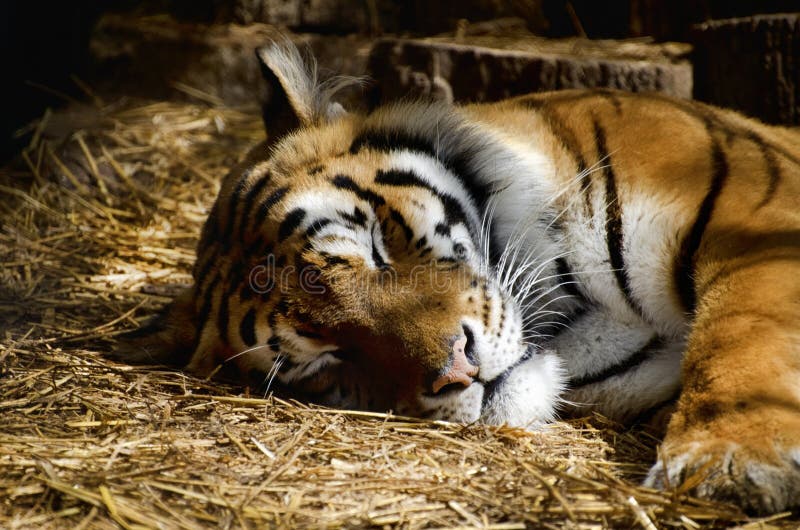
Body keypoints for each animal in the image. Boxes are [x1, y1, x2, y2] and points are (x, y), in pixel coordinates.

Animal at [118, 41, 800, 514]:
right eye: (326, 356)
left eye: (376, 245)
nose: (458, 372)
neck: (581, 306)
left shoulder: (755, 215)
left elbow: (741, 337)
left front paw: (730, 467)